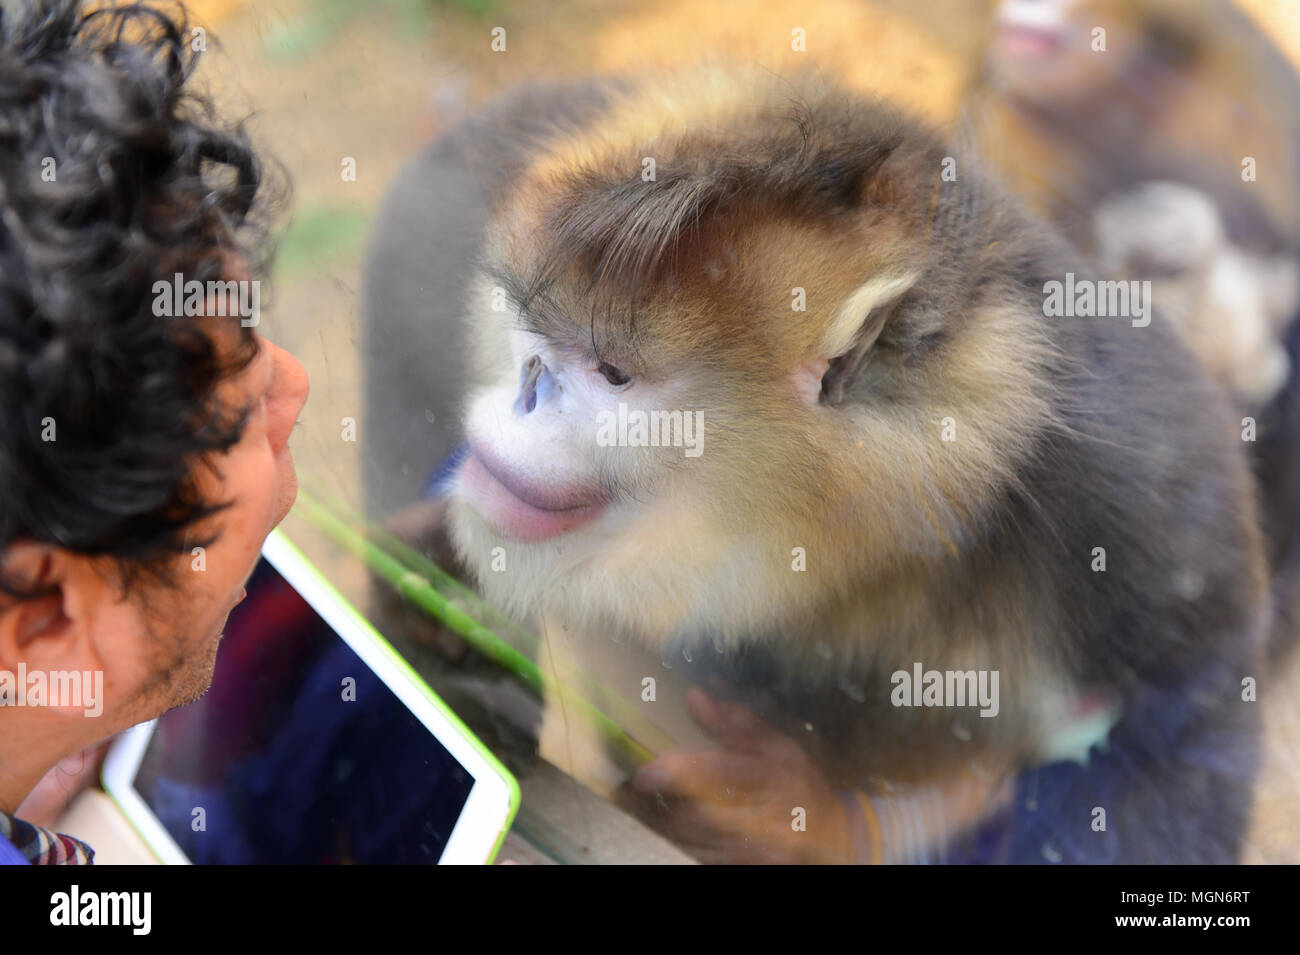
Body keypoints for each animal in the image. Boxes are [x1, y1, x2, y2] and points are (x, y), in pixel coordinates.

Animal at [361, 65, 1271, 863]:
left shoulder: (1134, 482)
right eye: (530, 331)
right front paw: (434, 598)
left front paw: (808, 820)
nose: (525, 394)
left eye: (612, 372)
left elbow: (1189, 714)